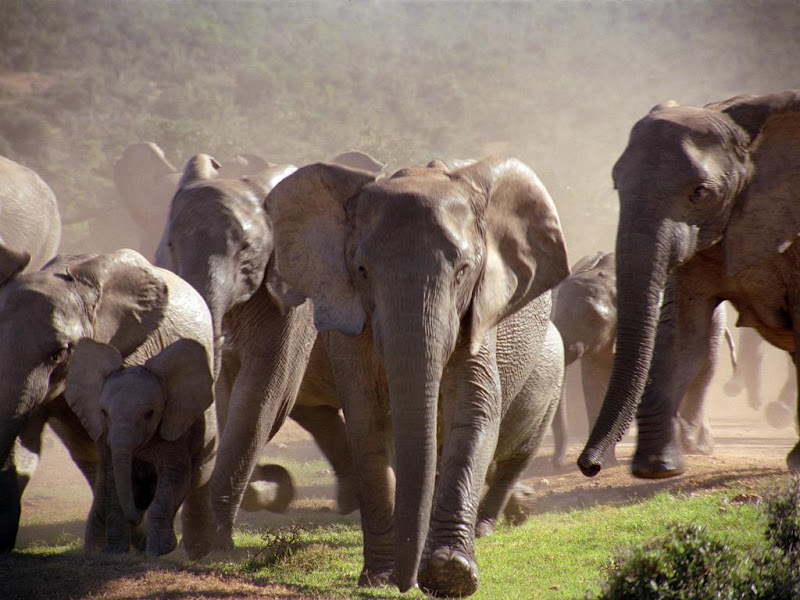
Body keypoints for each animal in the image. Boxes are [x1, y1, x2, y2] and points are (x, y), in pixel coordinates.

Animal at [63, 338, 216, 559]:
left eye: (149, 414)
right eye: (104, 413)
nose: (136, 516)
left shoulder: (175, 430)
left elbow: (175, 477)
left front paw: (160, 551)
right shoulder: (107, 439)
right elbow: (113, 482)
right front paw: (115, 553)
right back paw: (93, 552)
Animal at [155, 155, 357, 540]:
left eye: (245, 250)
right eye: (170, 247)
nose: (275, 477)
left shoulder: (296, 296)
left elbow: (262, 393)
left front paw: (218, 541)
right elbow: (229, 396)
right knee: (315, 412)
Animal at [267, 157, 570, 597]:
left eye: (463, 271)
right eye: (362, 270)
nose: (404, 583)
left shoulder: (478, 315)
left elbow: (473, 413)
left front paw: (450, 575)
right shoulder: (349, 321)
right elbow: (367, 422)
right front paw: (378, 577)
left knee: (516, 455)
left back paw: (483, 528)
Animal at [551, 251, 734, 467]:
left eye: (593, 319)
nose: (556, 462)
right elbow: (594, 382)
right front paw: (607, 463)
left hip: (714, 321)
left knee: (703, 373)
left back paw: (695, 447)